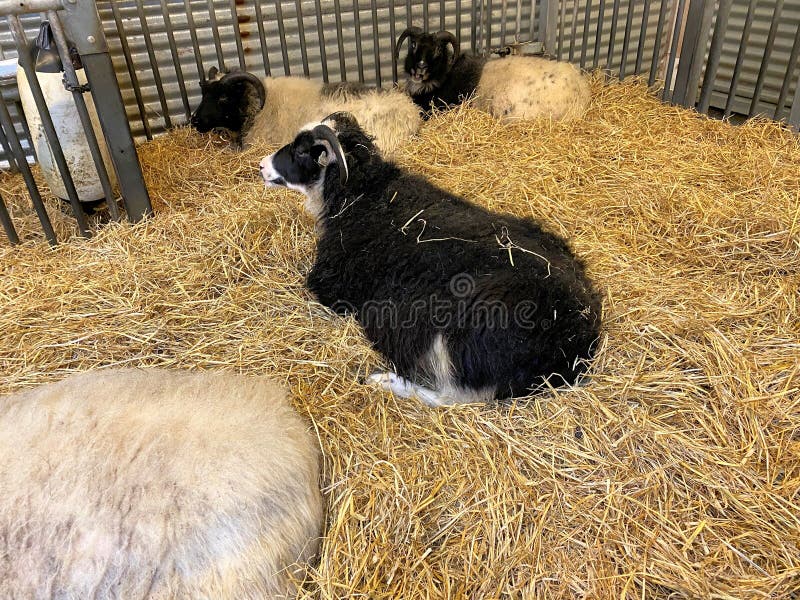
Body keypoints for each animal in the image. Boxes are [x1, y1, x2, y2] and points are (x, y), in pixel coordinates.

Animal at [259, 113, 602, 407]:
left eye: (300, 150)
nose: (262, 165)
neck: (359, 195)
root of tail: (574, 339)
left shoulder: (329, 286)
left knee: (455, 397)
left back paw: (385, 381)